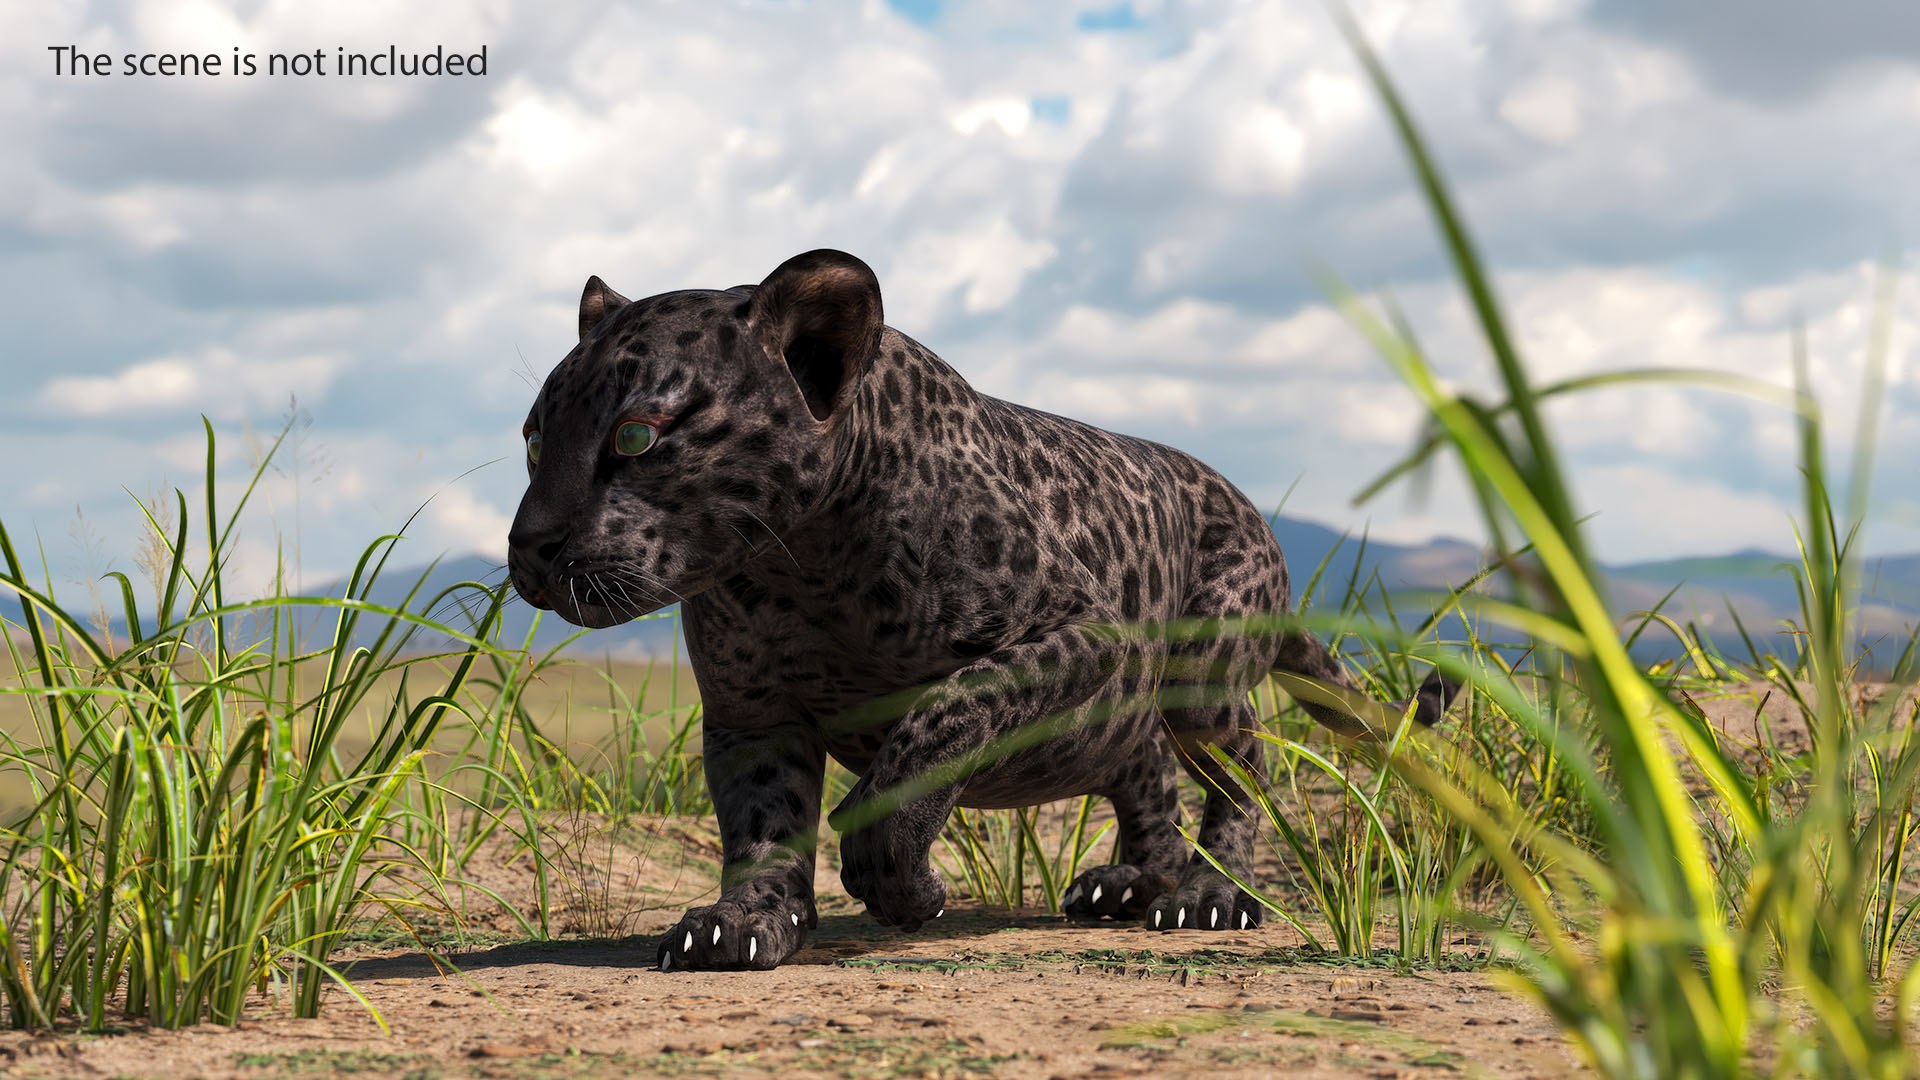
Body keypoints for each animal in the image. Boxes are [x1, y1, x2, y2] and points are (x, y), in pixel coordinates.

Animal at [506, 249, 1459, 972]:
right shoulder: (753, 712)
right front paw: (745, 923)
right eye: (532, 439)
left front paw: (905, 885)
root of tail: (1248, 506)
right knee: (1150, 777)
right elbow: (761, 819)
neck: (799, 567)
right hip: (1130, 723)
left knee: (1242, 771)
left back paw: (1215, 894)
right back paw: (1130, 884)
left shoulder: (1083, 631)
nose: (529, 546)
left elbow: (943, 715)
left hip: (1203, 680)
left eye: (636, 436)